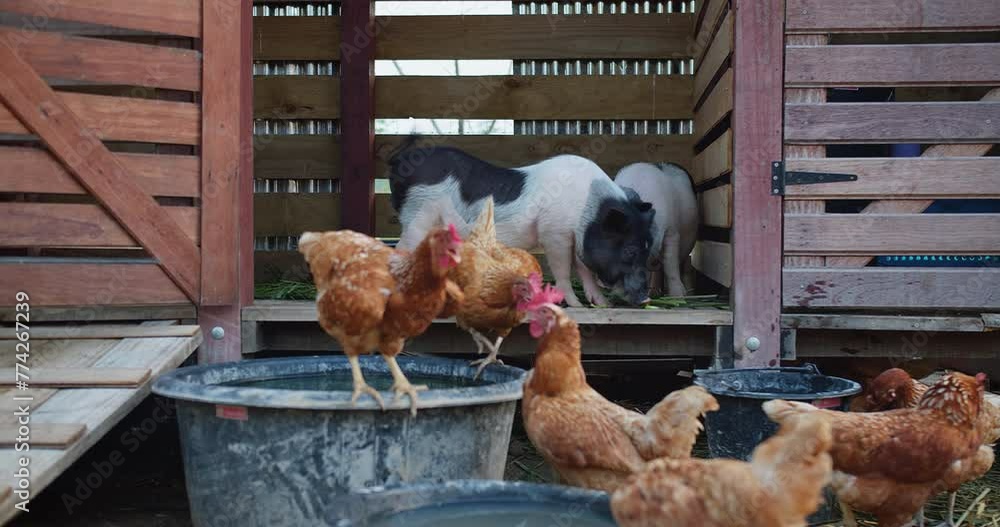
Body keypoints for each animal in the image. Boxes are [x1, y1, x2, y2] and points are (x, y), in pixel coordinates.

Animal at [387, 136, 656, 307]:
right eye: (630, 250)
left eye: (647, 247)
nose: (646, 297)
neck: (587, 208)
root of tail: (400, 160)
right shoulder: (554, 232)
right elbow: (562, 269)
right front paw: (575, 305)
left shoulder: (576, 238)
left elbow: (584, 270)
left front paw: (602, 303)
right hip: (416, 217)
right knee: (399, 250)